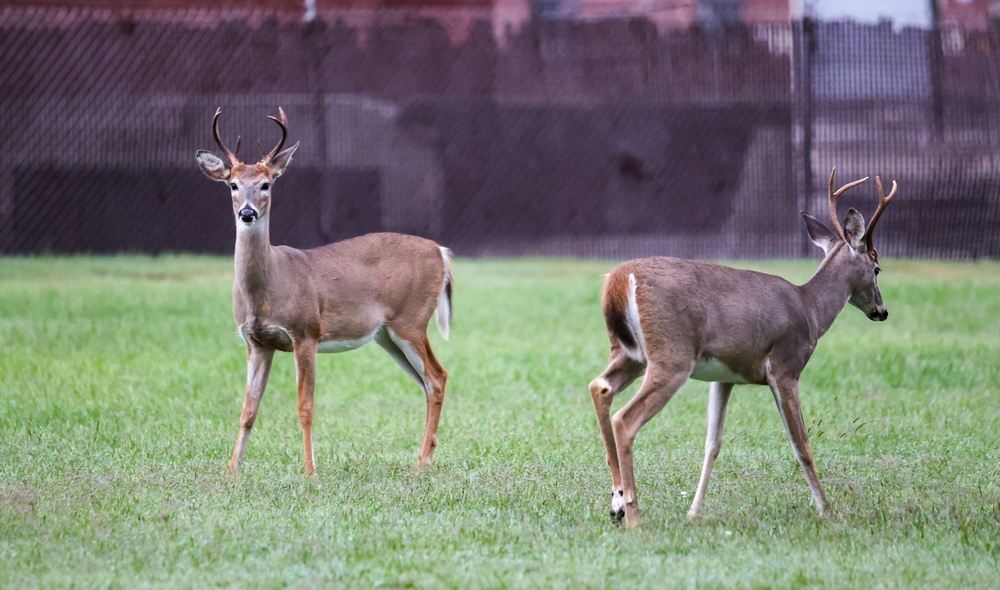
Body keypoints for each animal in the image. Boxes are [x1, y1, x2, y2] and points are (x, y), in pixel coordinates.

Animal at [196, 107, 453, 476]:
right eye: (233, 184)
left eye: (266, 184)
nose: (247, 213)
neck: (269, 287)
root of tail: (440, 251)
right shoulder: (256, 342)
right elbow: (247, 410)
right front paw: (232, 472)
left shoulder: (306, 332)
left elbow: (305, 407)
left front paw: (310, 472)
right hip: (386, 334)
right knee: (426, 382)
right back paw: (423, 457)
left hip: (411, 319)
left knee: (437, 376)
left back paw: (423, 462)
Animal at [588, 168, 897, 528]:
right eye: (876, 268)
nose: (882, 311)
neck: (810, 310)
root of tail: (619, 279)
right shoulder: (786, 365)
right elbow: (801, 444)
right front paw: (826, 510)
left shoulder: (724, 376)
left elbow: (712, 443)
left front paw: (694, 512)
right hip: (672, 354)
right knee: (626, 418)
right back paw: (635, 516)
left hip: (630, 352)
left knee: (600, 386)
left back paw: (617, 503)